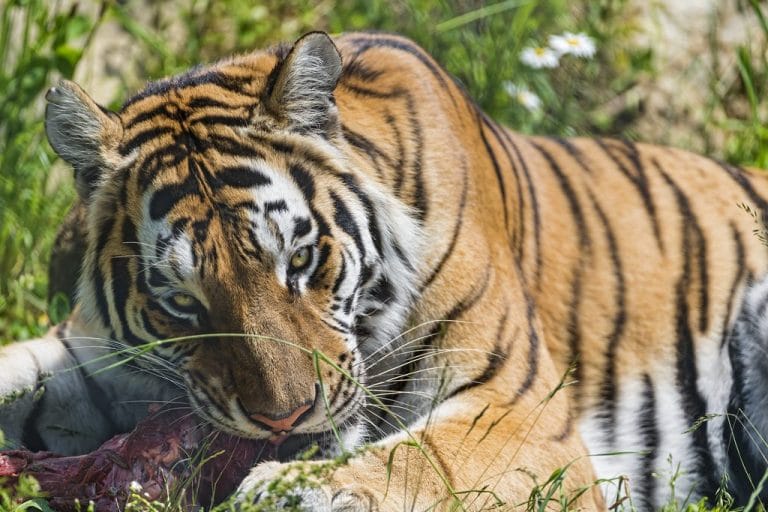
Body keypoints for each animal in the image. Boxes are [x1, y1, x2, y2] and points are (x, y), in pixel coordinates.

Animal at [3, 30, 768, 511]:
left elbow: (425, 457)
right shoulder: (99, 356)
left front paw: (289, 491)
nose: (285, 420)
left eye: (300, 260)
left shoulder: (520, 410)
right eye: (183, 304)